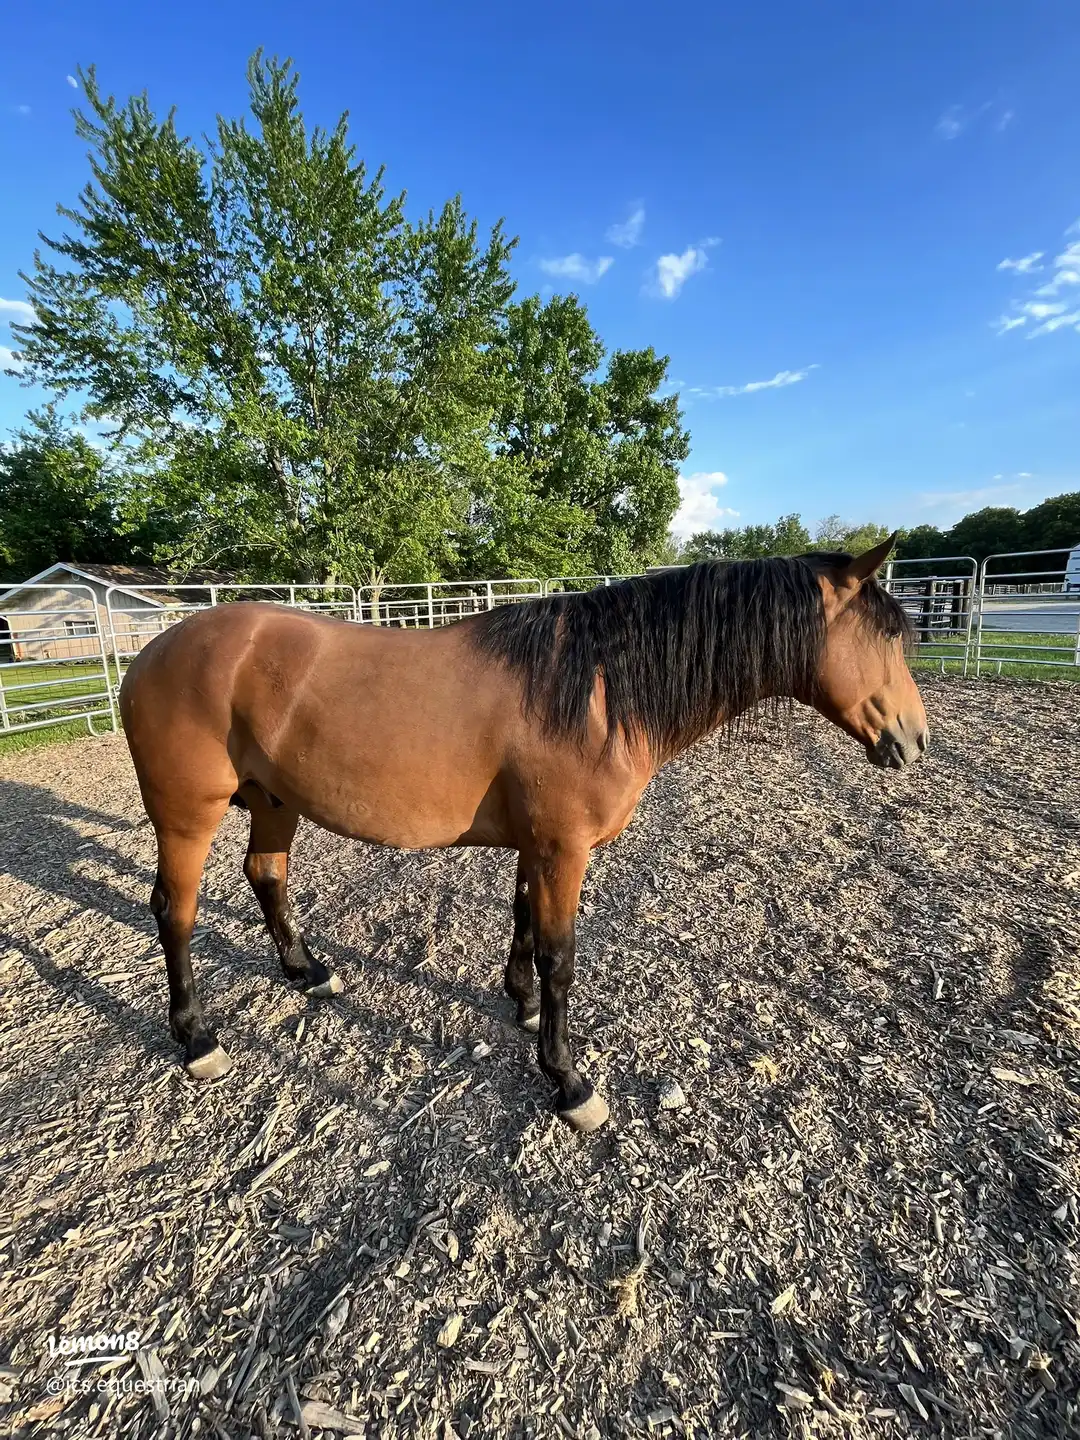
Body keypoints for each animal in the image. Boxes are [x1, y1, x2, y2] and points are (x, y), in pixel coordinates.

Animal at [118, 537, 927, 1132]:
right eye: (889, 637)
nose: (916, 740)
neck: (595, 690)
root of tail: (150, 653)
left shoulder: (539, 845)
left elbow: (524, 924)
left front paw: (523, 1004)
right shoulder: (563, 849)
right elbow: (560, 956)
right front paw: (568, 1080)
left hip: (275, 800)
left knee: (266, 874)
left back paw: (307, 971)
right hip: (188, 815)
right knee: (175, 913)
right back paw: (197, 1038)